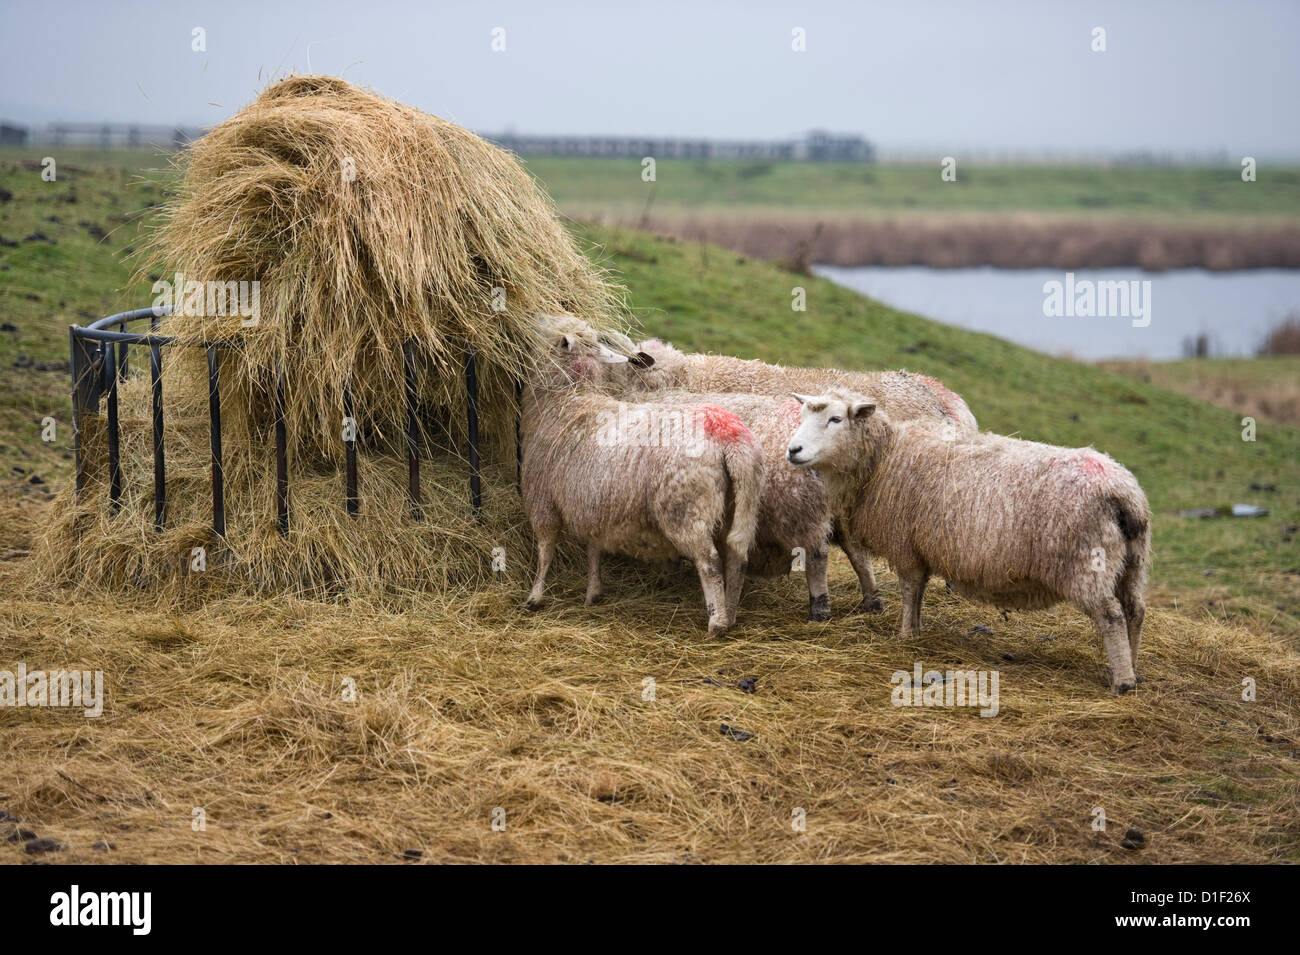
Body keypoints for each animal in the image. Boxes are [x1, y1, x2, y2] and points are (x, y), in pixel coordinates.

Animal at [521, 316, 763, 637]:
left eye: (553, 333)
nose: (533, 321)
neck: (566, 400)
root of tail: (727, 434)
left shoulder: (542, 498)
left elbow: (545, 549)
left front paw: (535, 596)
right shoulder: (592, 504)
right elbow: (593, 549)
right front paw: (593, 593)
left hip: (685, 508)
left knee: (709, 561)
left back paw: (717, 622)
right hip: (741, 502)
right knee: (737, 554)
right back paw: (732, 613)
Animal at [786, 389, 1150, 693]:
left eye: (835, 419)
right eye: (801, 416)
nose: (793, 450)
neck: (884, 455)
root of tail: (1124, 492)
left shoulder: (906, 545)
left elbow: (909, 590)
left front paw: (905, 635)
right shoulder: (921, 546)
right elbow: (918, 592)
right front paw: (916, 630)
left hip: (1087, 562)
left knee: (1111, 616)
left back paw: (1122, 682)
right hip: (1132, 562)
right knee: (1135, 610)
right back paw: (1132, 667)